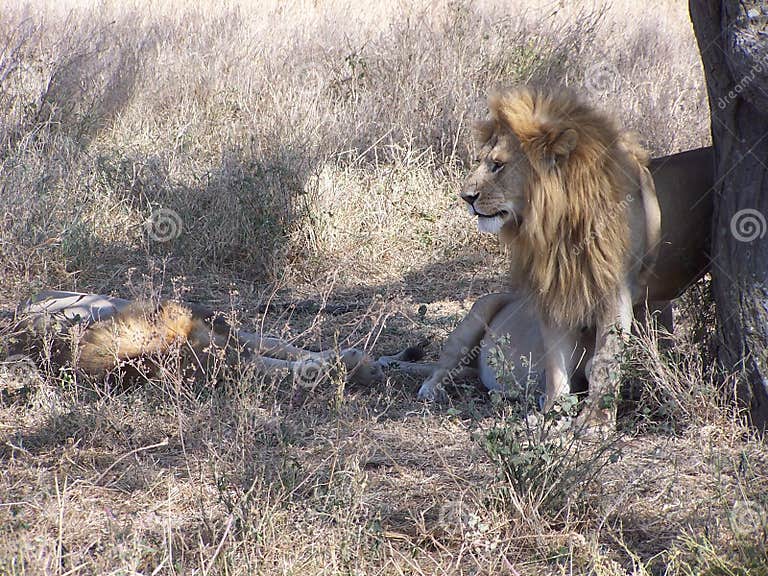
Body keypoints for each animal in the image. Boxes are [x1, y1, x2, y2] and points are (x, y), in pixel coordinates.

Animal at [409, 87, 713, 428]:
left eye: (498, 165)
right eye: (480, 162)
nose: (466, 197)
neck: (560, 222)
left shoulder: (616, 290)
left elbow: (605, 359)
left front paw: (594, 422)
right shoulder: (553, 290)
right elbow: (556, 364)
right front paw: (552, 412)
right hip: (478, 313)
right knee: (444, 363)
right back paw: (432, 390)